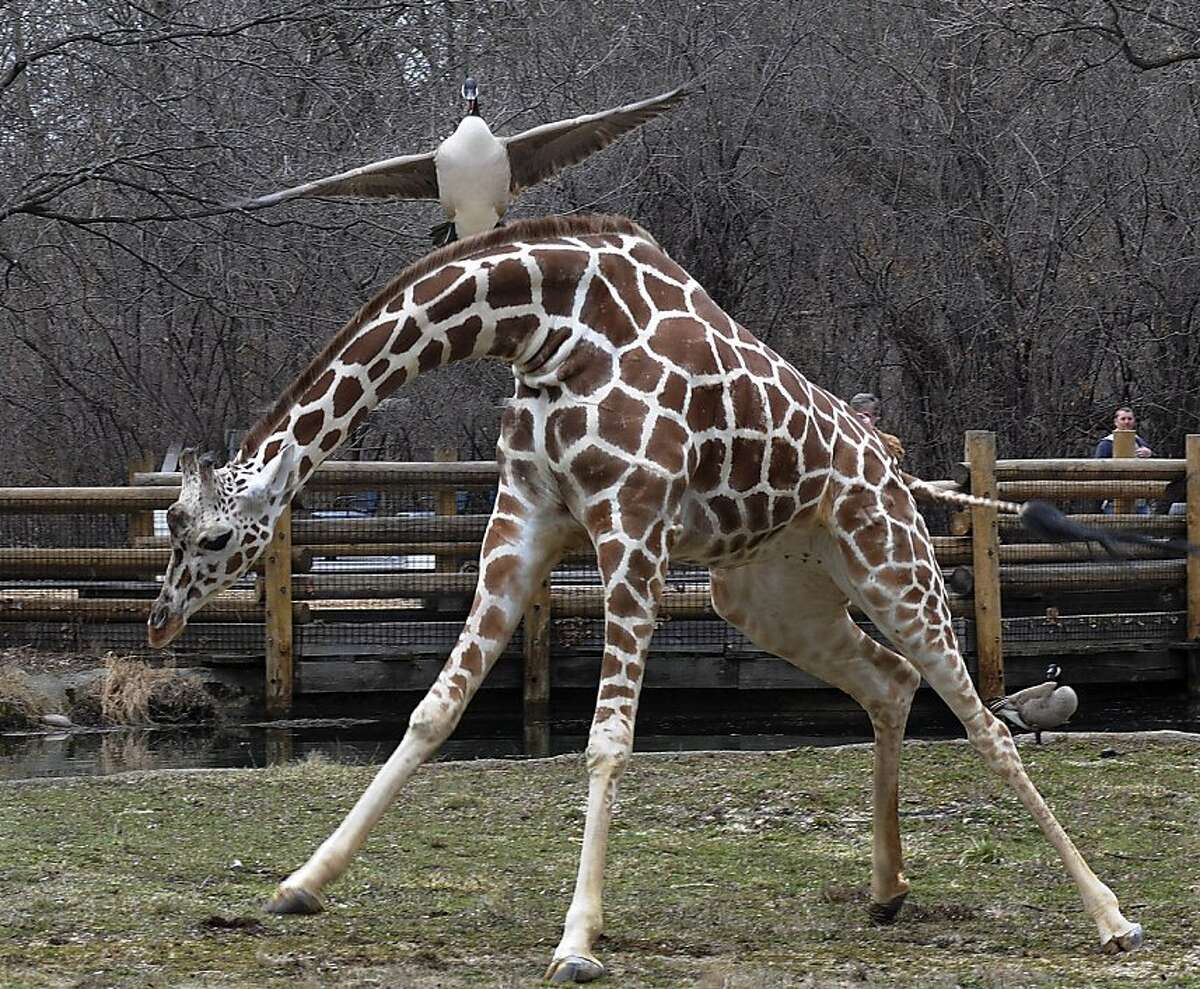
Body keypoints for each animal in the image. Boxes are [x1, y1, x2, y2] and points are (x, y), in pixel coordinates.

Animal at [147, 213, 1144, 982]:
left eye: (210, 536)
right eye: (169, 522)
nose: (160, 620)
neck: (547, 325)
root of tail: (894, 462)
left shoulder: (631, 529)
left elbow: (607, 740)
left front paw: (577, 942)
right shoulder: (521, 521)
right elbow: (434, 710)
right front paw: (303, 882)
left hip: (892, 565)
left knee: (983, 722)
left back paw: (1109, 915)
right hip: (766, 593)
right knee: (890, 683)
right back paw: (887, 889)